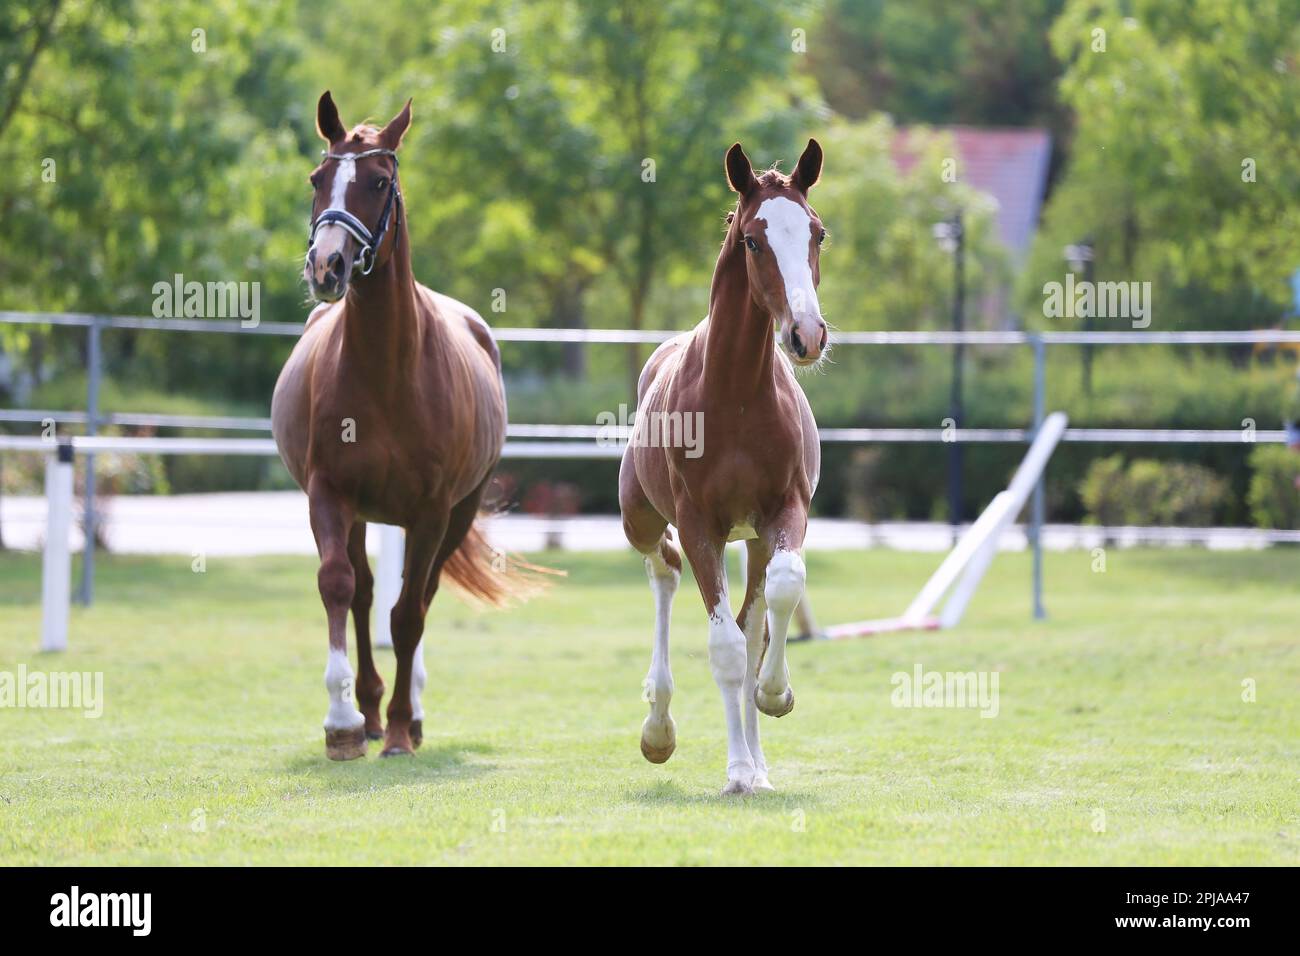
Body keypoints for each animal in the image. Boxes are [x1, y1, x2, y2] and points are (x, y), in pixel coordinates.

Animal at [272, 91, 522, 760]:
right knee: (361, 594)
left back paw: (407, 713)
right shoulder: (330, 494)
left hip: (455, 515)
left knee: (421, 596)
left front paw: (404, 731)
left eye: (380, 182)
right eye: (317, 178)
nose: (327, 266)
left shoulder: (432, 512)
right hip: (362, 512)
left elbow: (408, 614)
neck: (387, 370)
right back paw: (369, 711)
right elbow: (338, 586)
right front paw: (342, 724)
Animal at [619, 139, 829, 795]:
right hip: (640, 518)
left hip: (753, 536)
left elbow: (775, 601)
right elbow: (725, 648)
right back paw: (659, 729)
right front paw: (735, 771)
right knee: (662, 569)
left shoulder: (786, 509)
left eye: (817, 233)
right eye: (754, 241)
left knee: (753, 614)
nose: (807, 335)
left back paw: (760, 759)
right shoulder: (698, 523)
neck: (735, 392)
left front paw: (775, 695)